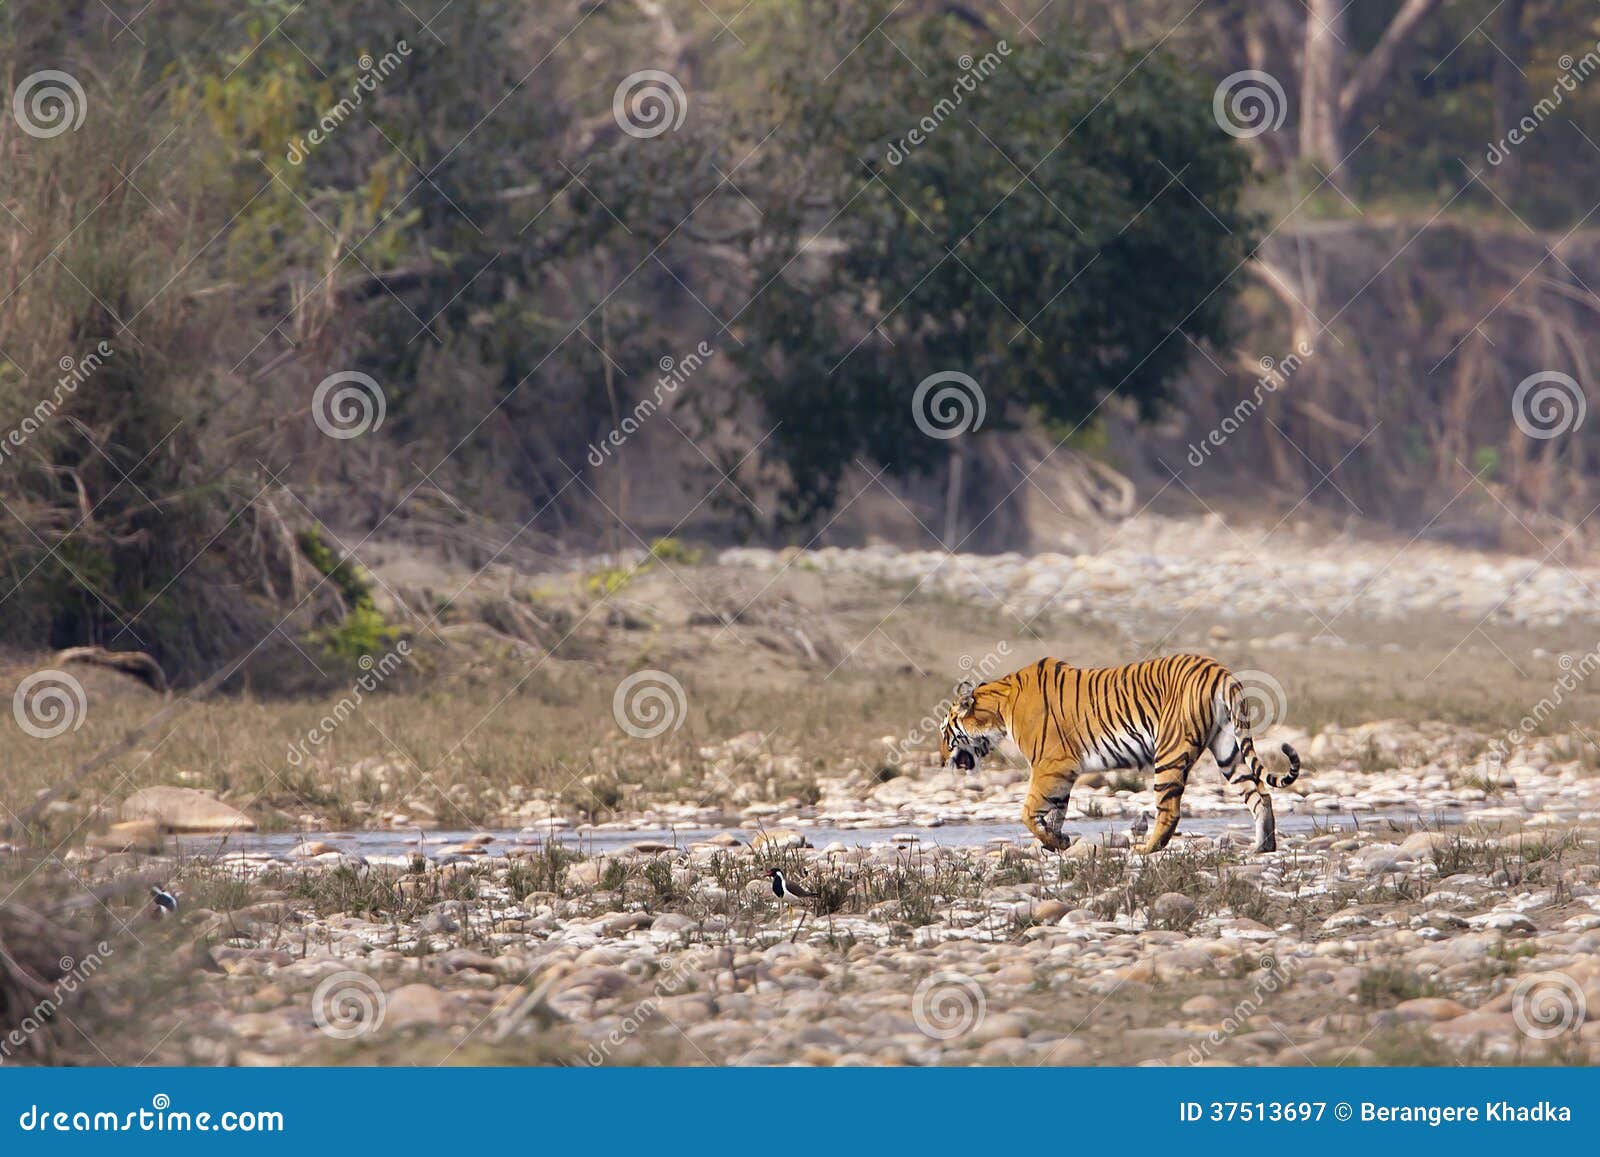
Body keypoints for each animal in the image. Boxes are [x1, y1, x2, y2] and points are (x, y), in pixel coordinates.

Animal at [938, 654, 1301, 855]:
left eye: (945, 733)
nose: (941, 760)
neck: (999, 707)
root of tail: (1218, 670)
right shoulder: (1061, 773)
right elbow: (1054, 812)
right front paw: (1056, 842)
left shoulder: (1050, 765)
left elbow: (1028, 812)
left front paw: (1057, 843)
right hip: (1227, 749)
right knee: (1260, 795)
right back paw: (1262, 847)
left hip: (1169, 751)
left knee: (1170, 810)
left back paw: (1147, 849)